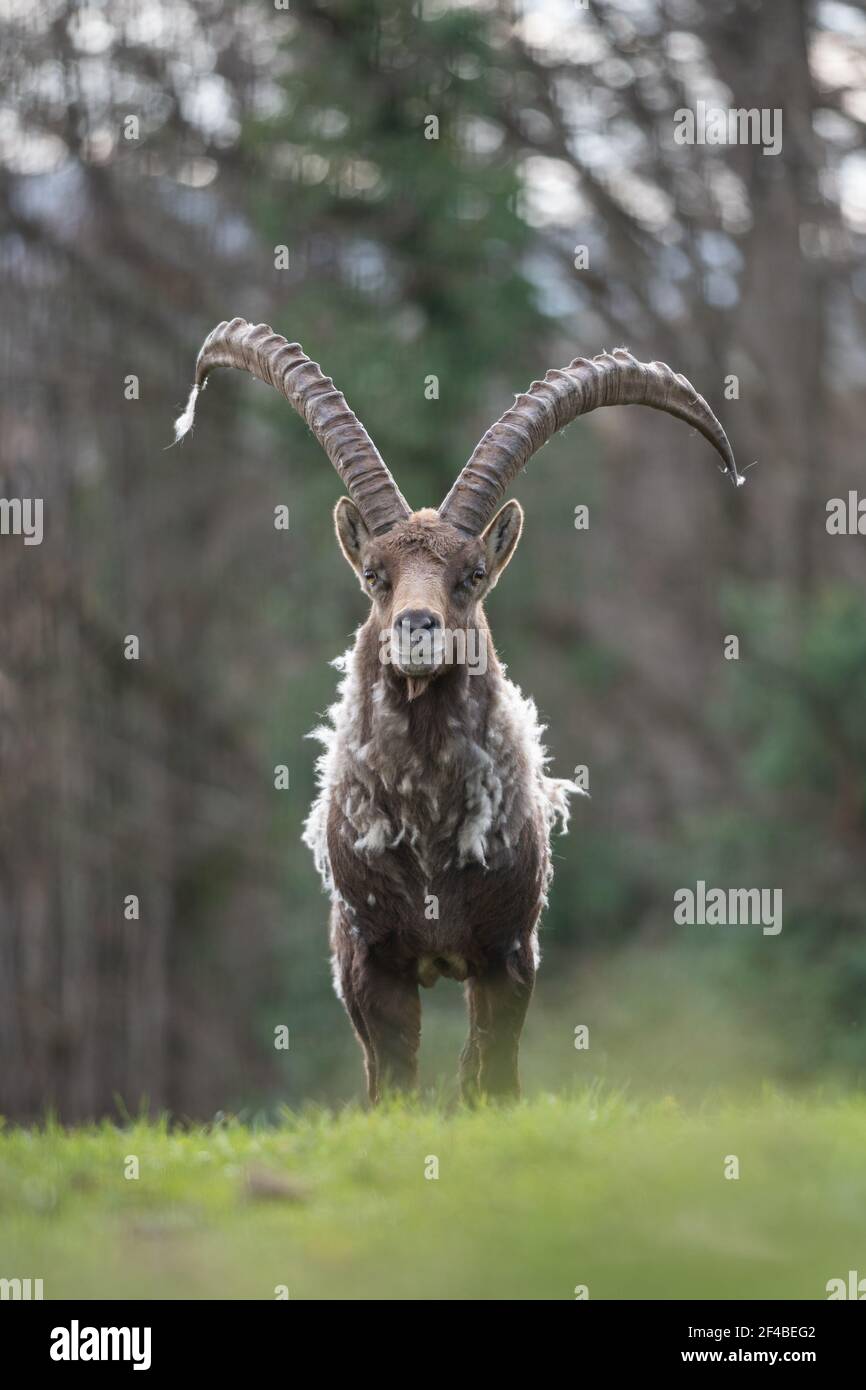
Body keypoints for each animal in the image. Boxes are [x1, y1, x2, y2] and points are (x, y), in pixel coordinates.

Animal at [175, 318, 740, 1102]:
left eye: (472, 574)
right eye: (375, 574)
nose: (418, 627)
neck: (431, 828)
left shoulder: (505, 951)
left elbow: (490, 1076)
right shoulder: (370, 959)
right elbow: (392, 1080)